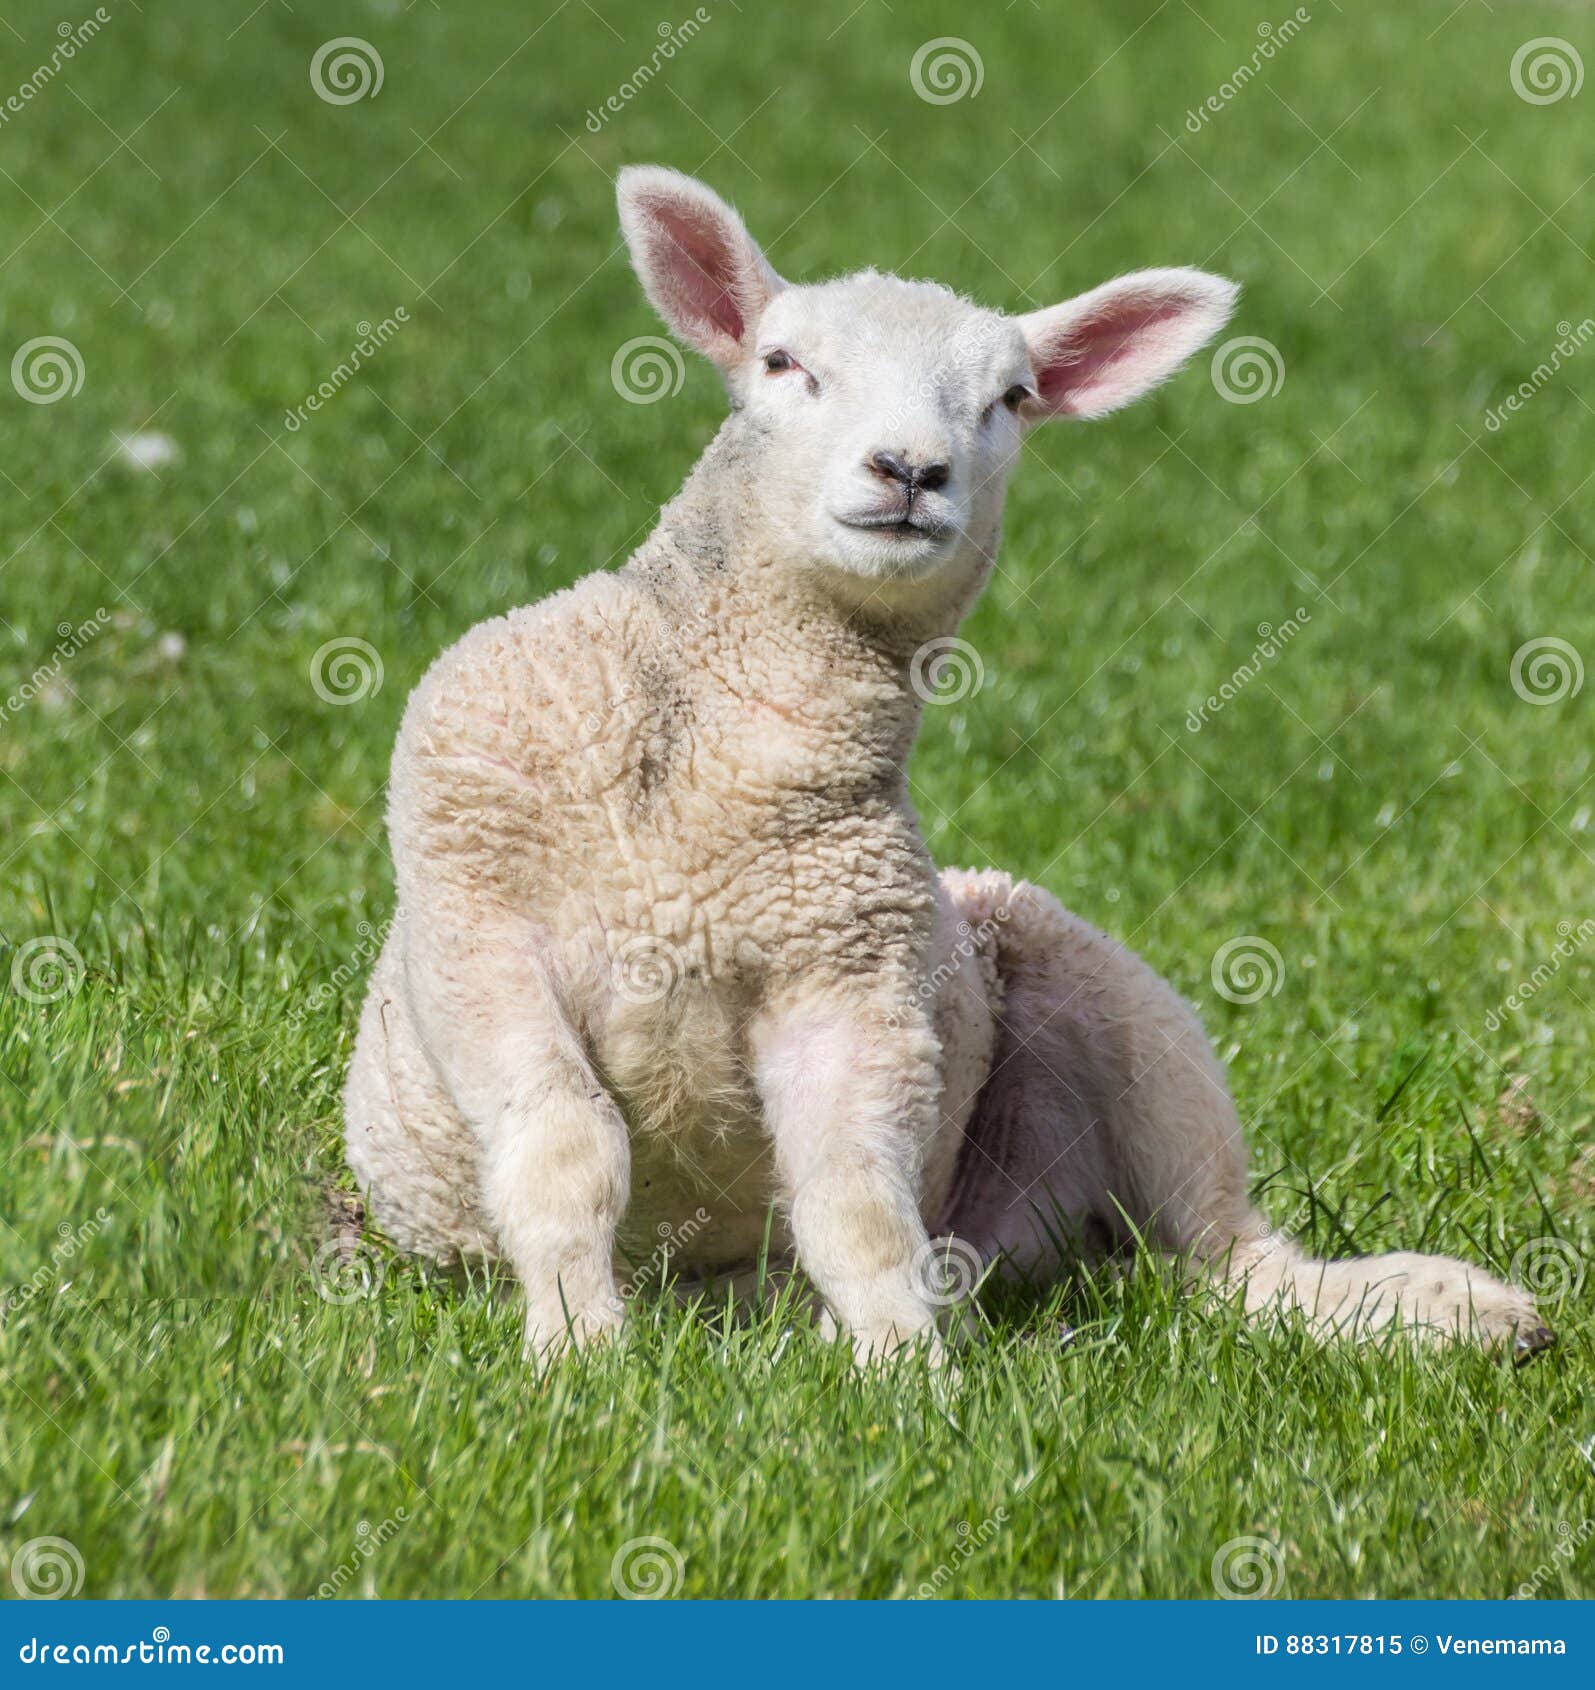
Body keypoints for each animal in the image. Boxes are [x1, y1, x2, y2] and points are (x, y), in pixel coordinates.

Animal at [343, 165, 1551, 1365]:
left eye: (1010, 398)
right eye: (782, 362)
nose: (909, 469)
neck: (708, 780)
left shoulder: (854, 973)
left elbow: (854, 1196)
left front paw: (901, 1370)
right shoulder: (477, 923)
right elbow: (567, 1148)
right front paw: (576, 1349)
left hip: (1095, 995)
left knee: (1226, 1255)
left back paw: (1440, 1309)